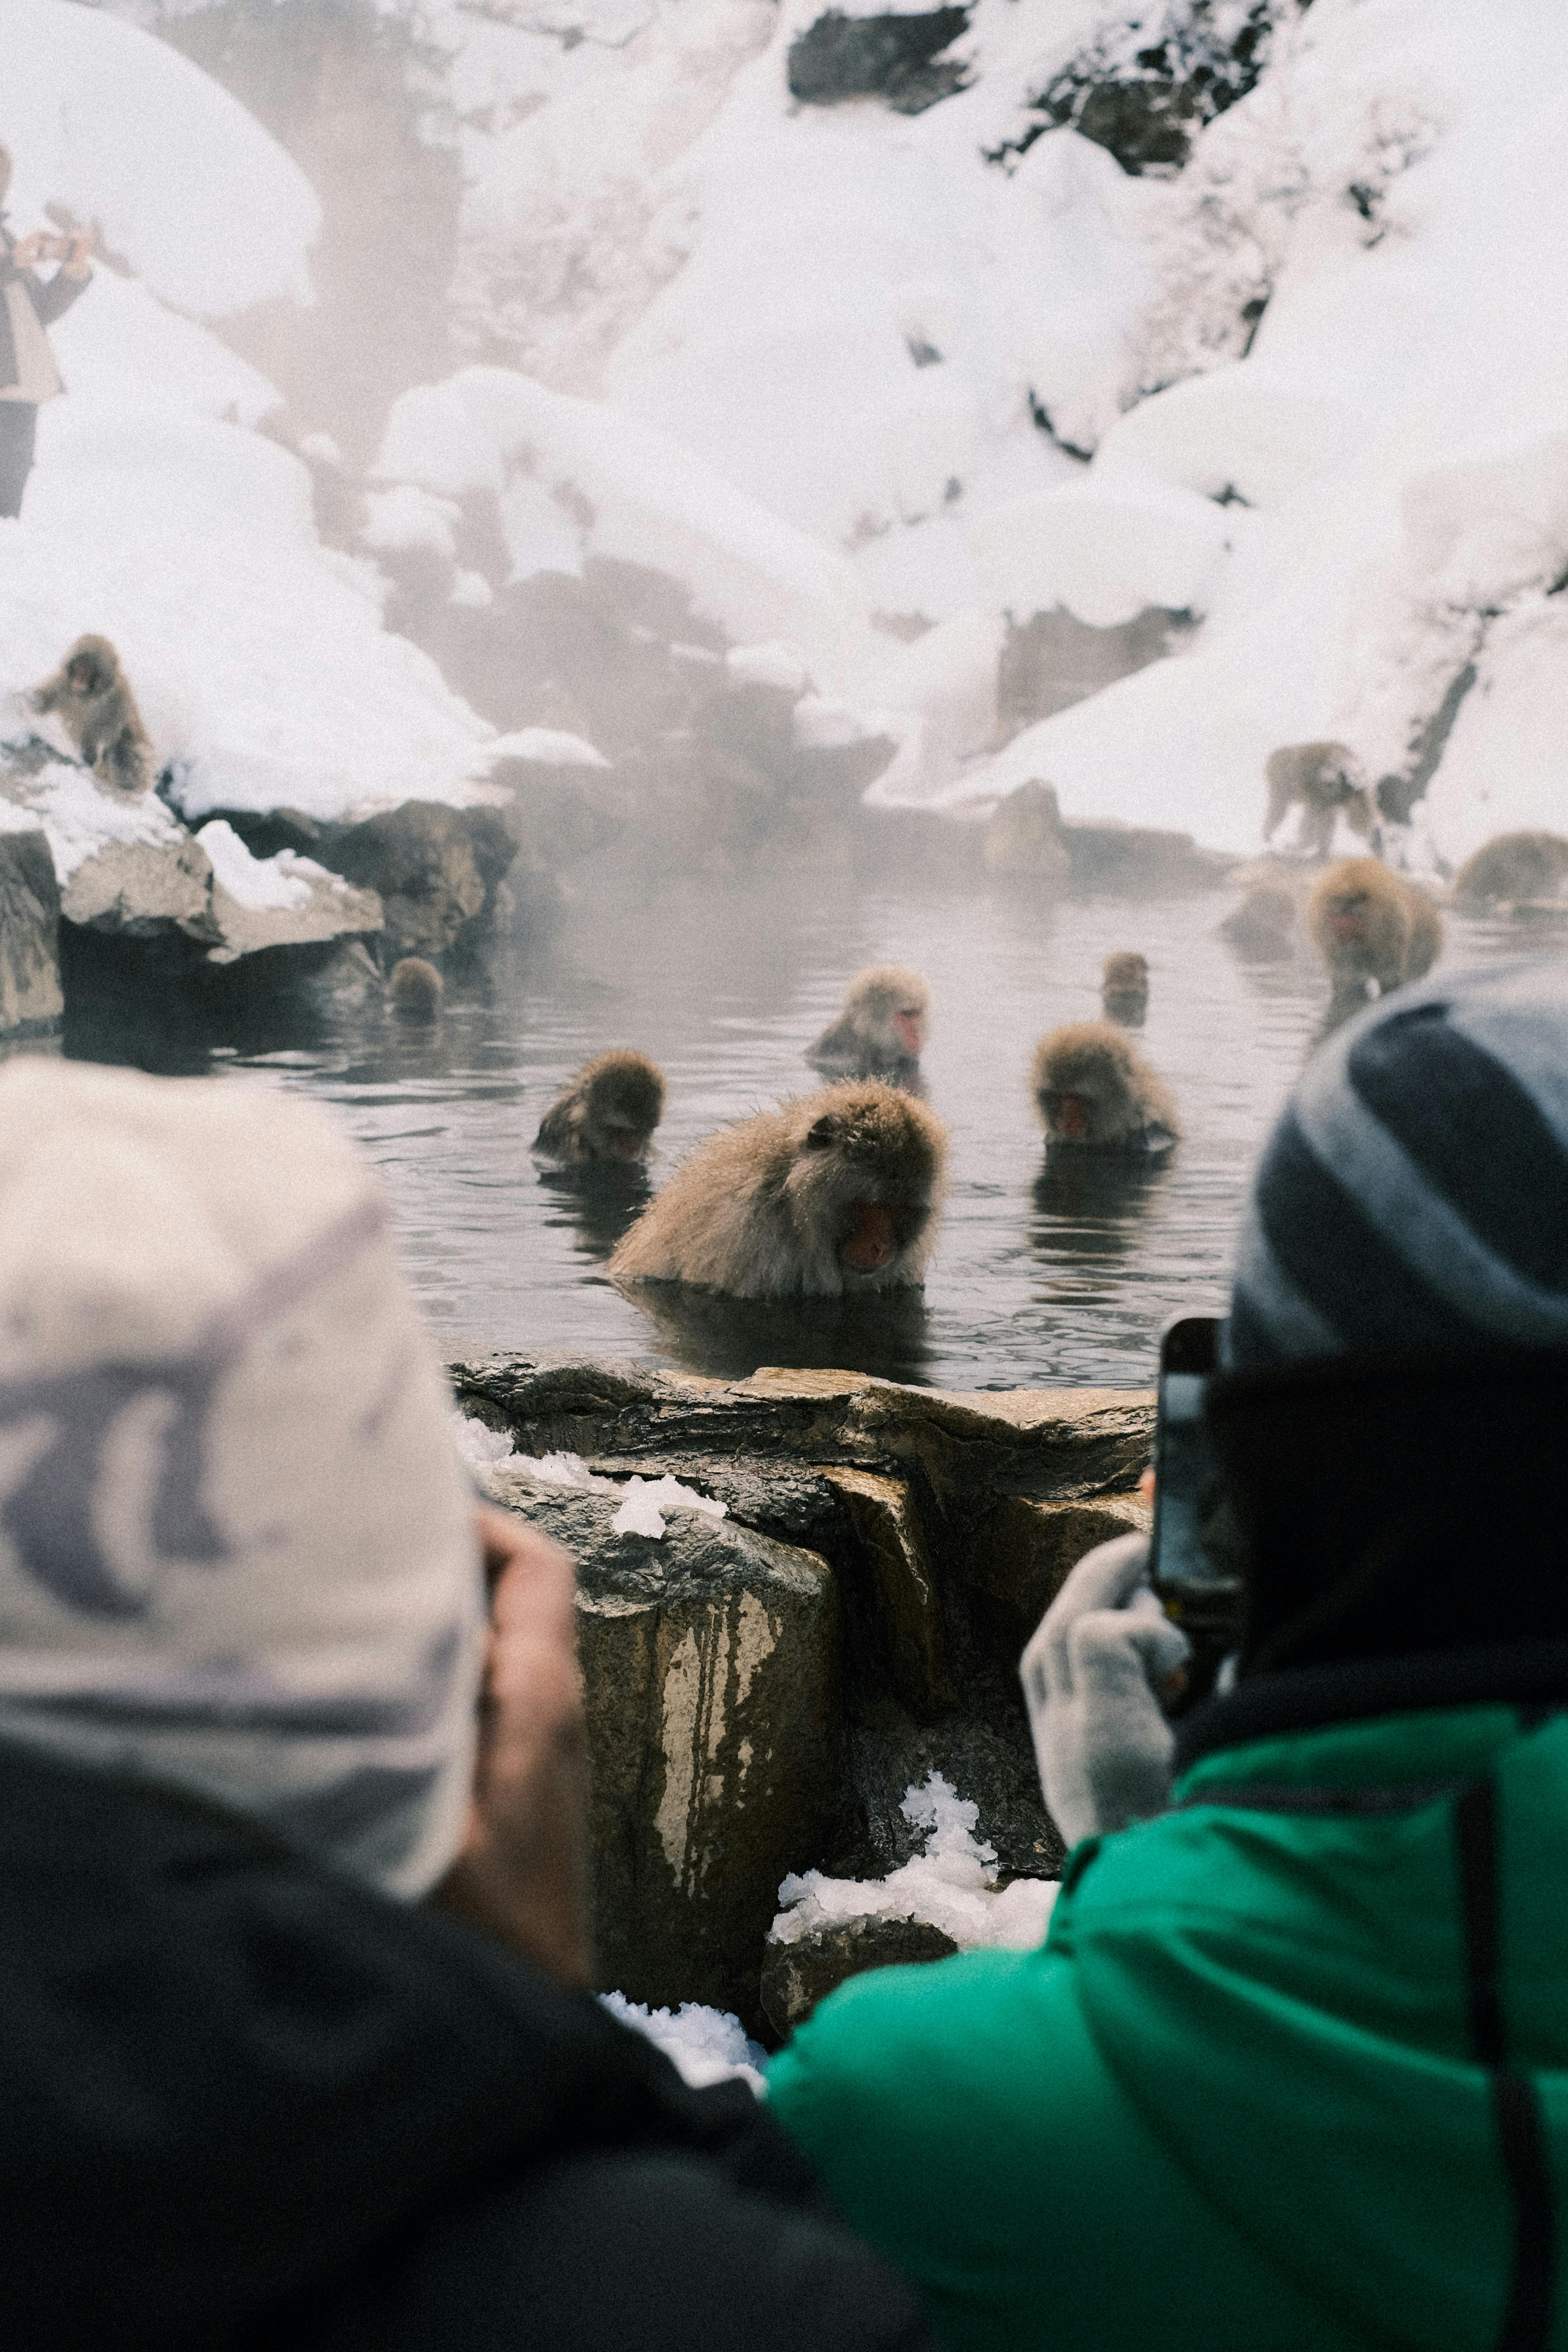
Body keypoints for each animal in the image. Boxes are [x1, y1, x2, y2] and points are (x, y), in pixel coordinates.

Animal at [33, 634, 154, 795]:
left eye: (87, 672)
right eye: (78, 668)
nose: (79, 680)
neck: (89, 696)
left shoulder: (119, 696)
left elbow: (111, 733)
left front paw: (96, 756)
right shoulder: (63, 683)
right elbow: (44, 702)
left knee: (128, 750)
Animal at [1264, 742, 1377, 860]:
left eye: (1273, 779)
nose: (1272, 784)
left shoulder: (1284, 781)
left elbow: (1279, 809)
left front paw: (1267, 832)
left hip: (1328, 782)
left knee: (1316, 811)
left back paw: (1307, 845)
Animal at [1306, 857, 1444, 1018]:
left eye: (1351, 918)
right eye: (1339, 918)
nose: (1343, 929)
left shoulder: (1390, 932)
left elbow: (1389, 981)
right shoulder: (1331, 940)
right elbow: (1348, 987)